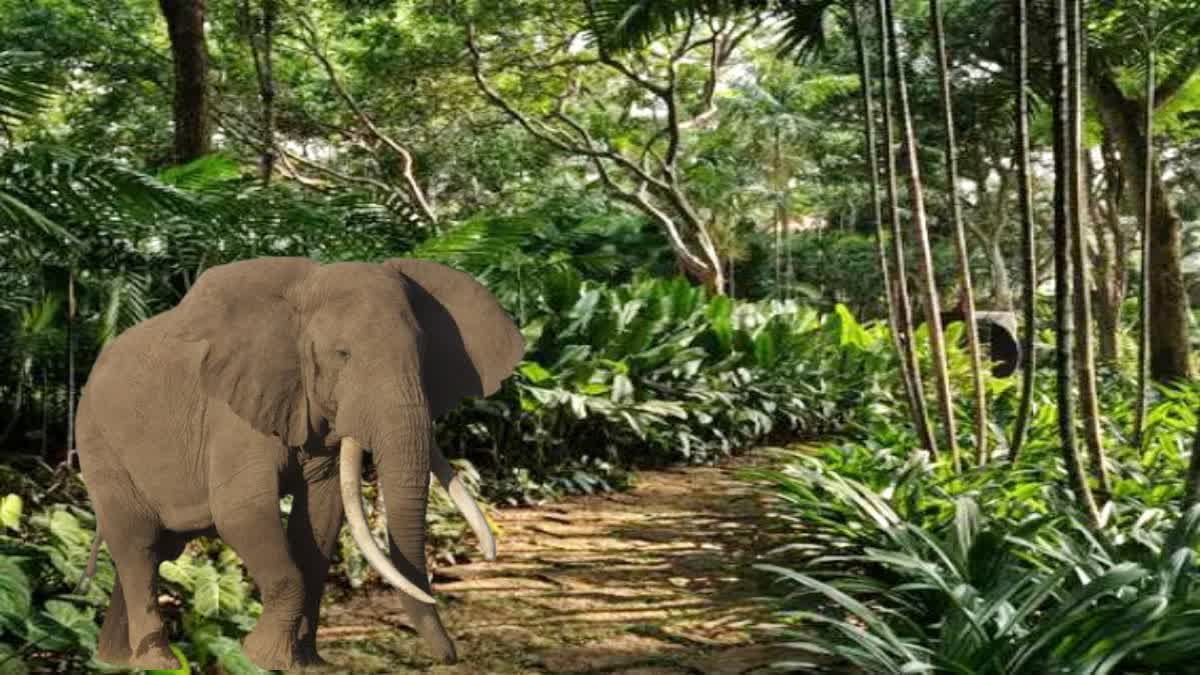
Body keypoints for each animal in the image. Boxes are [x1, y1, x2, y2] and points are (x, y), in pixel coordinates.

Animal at [73, 256, 524, 670]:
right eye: (342, 354)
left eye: (425, 354)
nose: (450, 657)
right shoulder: (232, 412)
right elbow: (242, 512)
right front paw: (259, 657)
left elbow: (321, 517)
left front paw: (303, 663)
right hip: (98, 444)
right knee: (138, 545)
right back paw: (157, 662)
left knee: (152, 550)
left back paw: (113, 660)